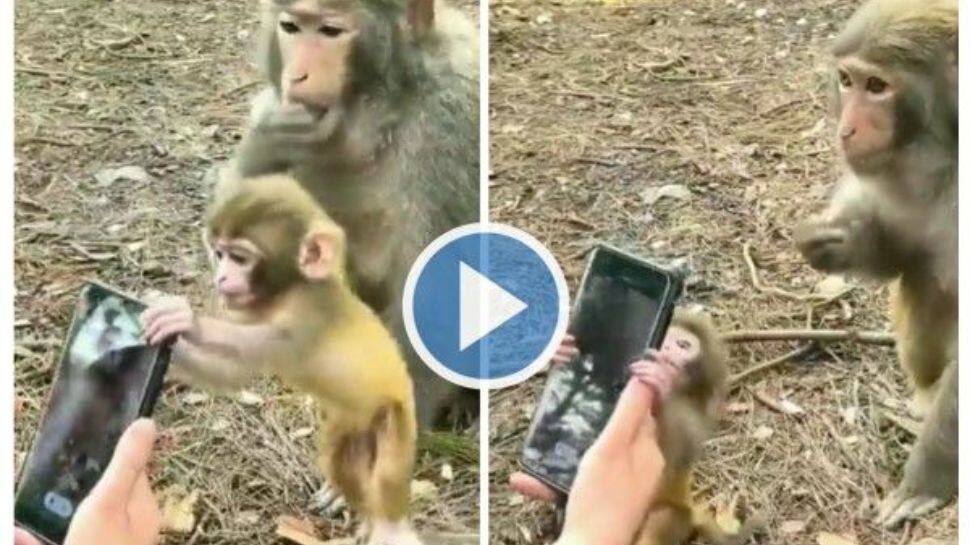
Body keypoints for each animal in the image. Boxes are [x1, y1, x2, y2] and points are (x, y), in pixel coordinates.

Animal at [141, 174, 422, 545]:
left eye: (240, 258)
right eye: (220, 254)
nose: (221, 277)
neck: (285, 292)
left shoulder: (310, 312)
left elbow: (263, 344)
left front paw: (186, 320)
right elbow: (232, 369)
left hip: (396, 417)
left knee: (388, 474)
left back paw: (389, 528)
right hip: (350, 423)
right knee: (342, 462)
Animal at [791, 0, 957, 528]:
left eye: (878, 87)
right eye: (846, 80)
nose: (845, 129)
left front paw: (925, 482)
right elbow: (906, 248)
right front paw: (837, 242)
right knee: (924, 278)